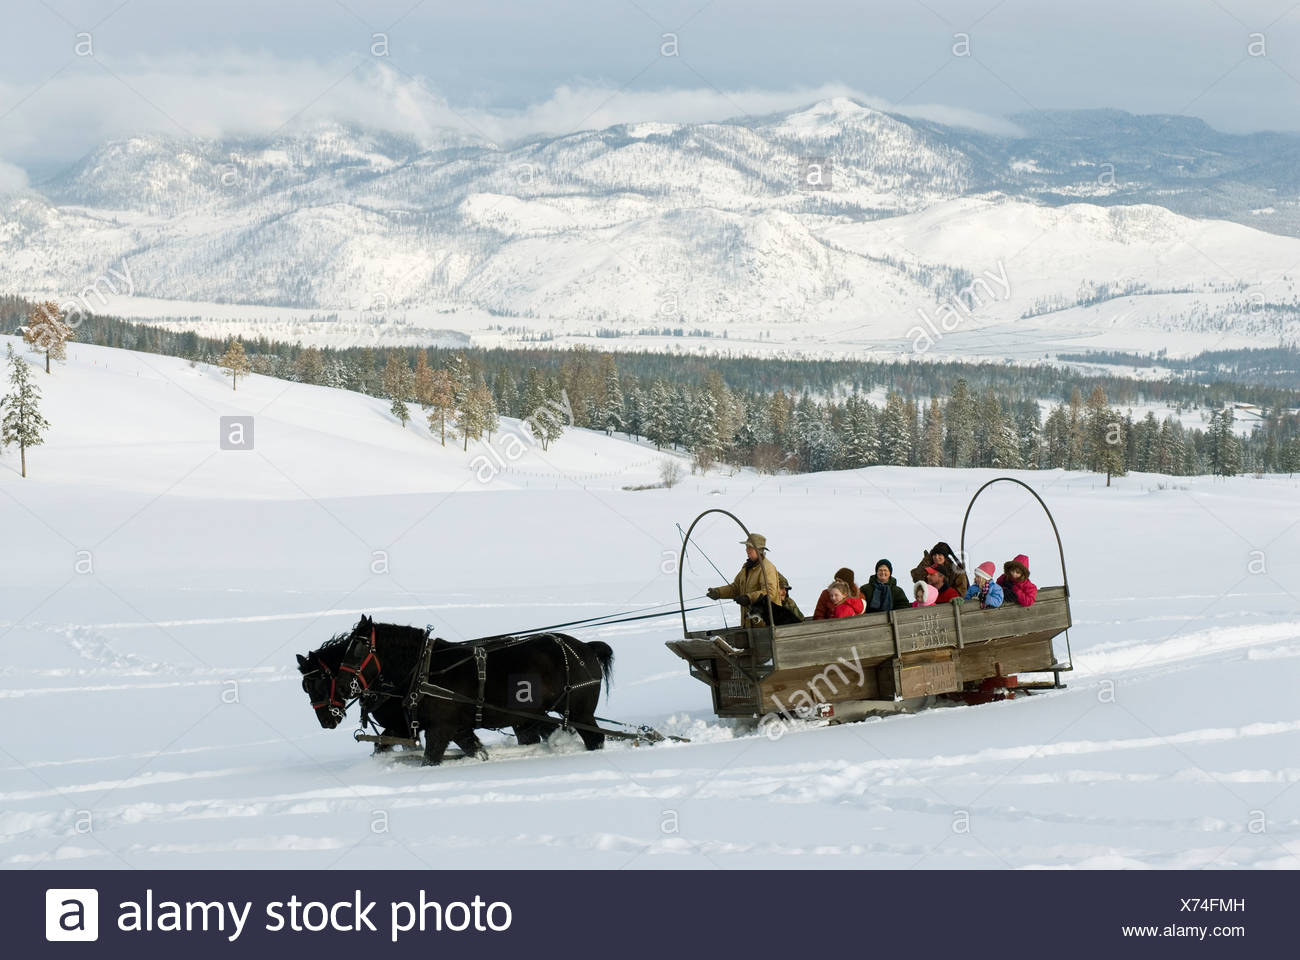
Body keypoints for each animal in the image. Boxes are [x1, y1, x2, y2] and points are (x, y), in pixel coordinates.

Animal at [296, 614, 614, 766]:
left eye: (360, 649)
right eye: (306, 687)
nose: (326, 719)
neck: (420, 672)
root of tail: (586, 648)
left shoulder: (439, 729)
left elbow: (428, 759)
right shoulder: (456, 729)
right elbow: (475, 751)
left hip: (580, 713)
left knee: (595, 738)